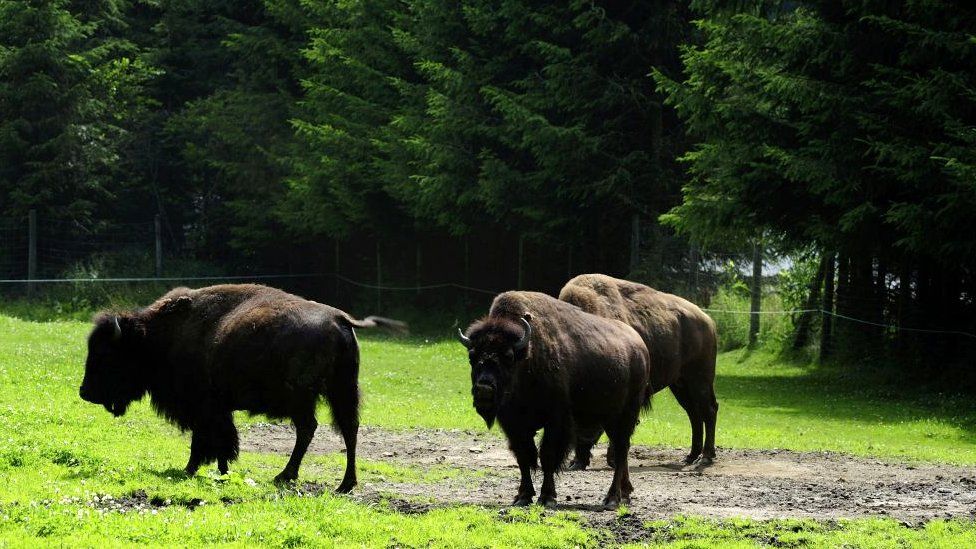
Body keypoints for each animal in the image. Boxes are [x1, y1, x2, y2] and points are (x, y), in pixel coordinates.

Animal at [78, 284, 404, 492]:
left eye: (107, 354)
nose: (85, 392)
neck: (156, 337)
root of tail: (340, 317)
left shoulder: (204, 407)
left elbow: (208, 439)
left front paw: (192, 469)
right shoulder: (218, 409)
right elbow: (222, 440)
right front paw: (220, 470)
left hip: (304, 397)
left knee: (309, 429)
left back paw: (285, 476)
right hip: (342, 391)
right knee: (348, 430)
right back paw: (344, 485)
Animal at [457, 291, 650, 509]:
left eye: (508, 356)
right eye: (472, 356)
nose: (484, 389)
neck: (528, 357)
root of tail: (640, 346)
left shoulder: (556, 421)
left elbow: (547, 456)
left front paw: (547, 497)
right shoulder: (514, 425)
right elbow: (524, 457)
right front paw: (522, 496)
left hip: (626, 415)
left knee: (621, 450)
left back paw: (612, 499)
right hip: (609, 419)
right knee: (621, 451)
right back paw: (625, 494)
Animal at [559, 274, 718, 468]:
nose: (578, 462)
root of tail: (707, 321)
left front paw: (613, 459)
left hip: (699, 380)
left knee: (708, 410)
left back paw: (706, 457)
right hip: (680, 384)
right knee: (694, 414)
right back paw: (690, 456)